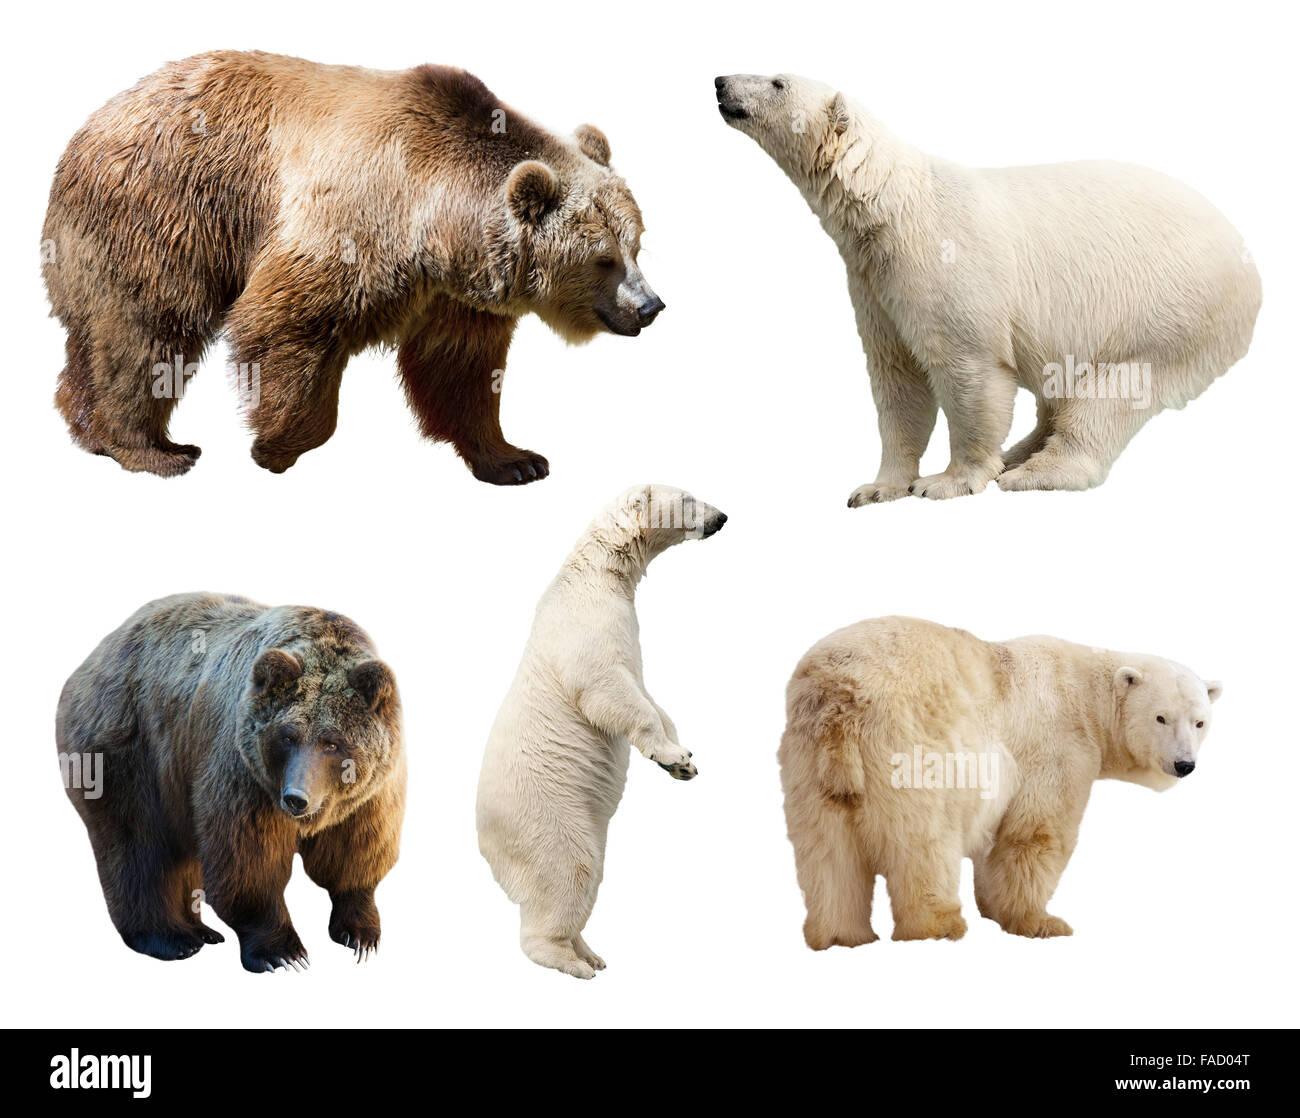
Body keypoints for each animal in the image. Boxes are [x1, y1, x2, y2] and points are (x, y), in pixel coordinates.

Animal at [42, 51, 662, 480]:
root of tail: (95, 119)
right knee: (150, 324)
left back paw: (88, 430)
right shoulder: (356, 222)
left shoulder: (455, 295)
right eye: (603, 259)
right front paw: (275, 446)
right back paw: (155, 449)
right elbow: (287, 322)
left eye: (638, 244)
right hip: (166, 205)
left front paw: (516, 459)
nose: (650, 306)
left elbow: (460, 368)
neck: (440, 227)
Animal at [56, 592, 406, 972]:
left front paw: (360, 935)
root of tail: (96, 653)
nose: (296, 798)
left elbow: (355, 852)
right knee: (138, 843)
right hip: (130, 745)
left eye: (332, 742)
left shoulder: (367, 795)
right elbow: (247, 861)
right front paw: (282, 952)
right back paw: (172, 939)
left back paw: (201, 930)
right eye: (287, 736)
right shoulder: (246, 775)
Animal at [476, 484, 727, 978]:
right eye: (687, 498)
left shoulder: (627, 627)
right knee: (569, 870)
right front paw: (670, 755)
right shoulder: (588, 626)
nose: (721, 517)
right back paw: (572, 963)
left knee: (590, 875)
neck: (598, 571)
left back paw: (590, 952)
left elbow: (648, 693)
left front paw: (684, 761)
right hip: (546, 814)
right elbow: (608, 689)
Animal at [715, 74, 1262, 503]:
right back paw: (1021, 451)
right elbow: (897, 377)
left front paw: (947, 481)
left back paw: (1034, 471)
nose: (720, 81)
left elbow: (968, 369)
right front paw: (877, 487)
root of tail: (1247, 261)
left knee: (1117, 390)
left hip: (1170, 307)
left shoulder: (945, 267)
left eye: (777, 81)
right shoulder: (874, 283)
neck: (894, 206)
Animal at [778, 616, 1221, 947]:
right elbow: (1035, 835)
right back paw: (938, 926)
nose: (1184, 764)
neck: (1088, 697)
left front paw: (995, 908)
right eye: (1161, 717)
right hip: (905, 744)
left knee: (826, 848)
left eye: (1200, 722)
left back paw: (841, 934)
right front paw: (1041, 921)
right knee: (923, 839)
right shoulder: (1057, 745)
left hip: (809, 759)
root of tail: (841, 693)